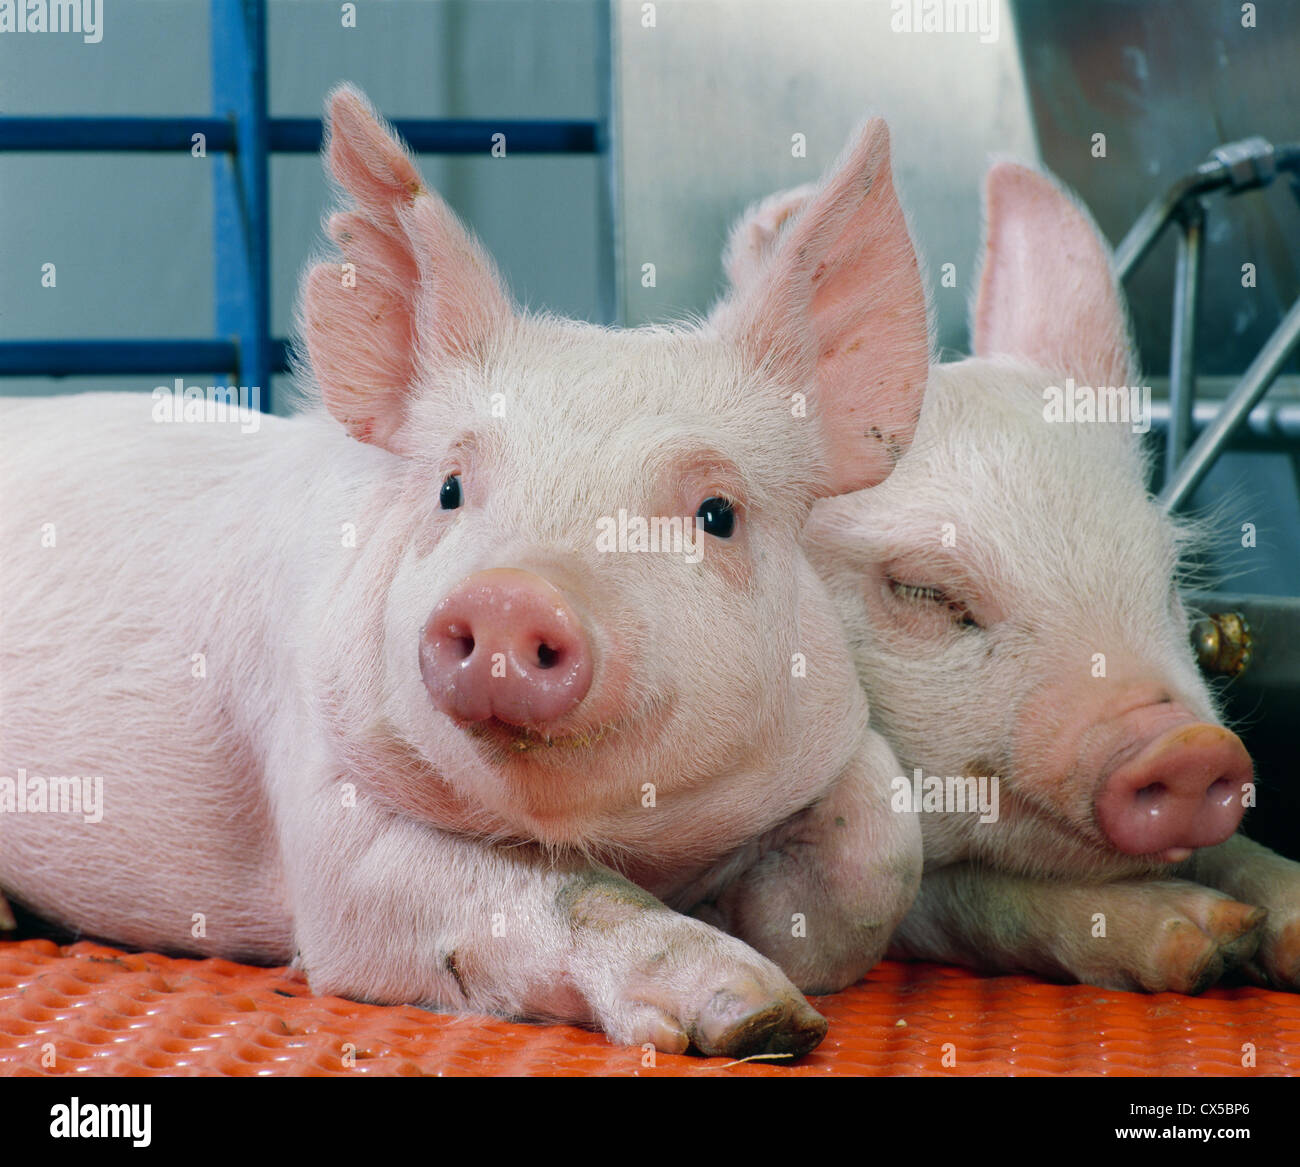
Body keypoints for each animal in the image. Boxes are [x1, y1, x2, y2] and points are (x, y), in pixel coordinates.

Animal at [0, 86, 928, 1058]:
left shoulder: (830, 724)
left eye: (718, 513)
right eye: (449, 489)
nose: (513, 595)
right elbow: (554, 889)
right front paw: (759, 1011)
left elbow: (885, 830)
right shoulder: (319, 792)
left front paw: (775, 956)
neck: (618, 834)